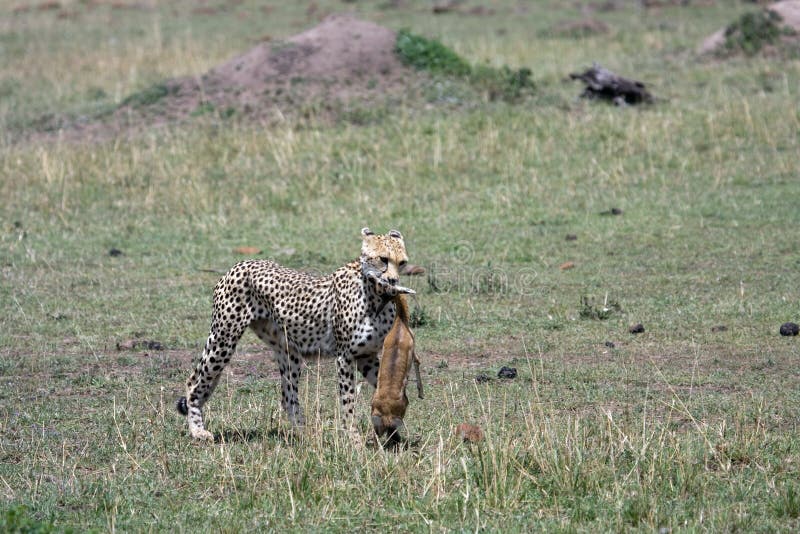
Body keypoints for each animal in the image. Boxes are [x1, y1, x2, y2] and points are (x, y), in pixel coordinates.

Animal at [176, 227, 414, 440]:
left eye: (402, 262)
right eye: (383, 259)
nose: (393, 281)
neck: (375, 295)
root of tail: (240, 264)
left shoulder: (366, 355)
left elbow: (386, 387)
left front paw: (393, 426)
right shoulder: (345, 357)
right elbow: (348, 401)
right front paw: (353, 439)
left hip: (288, 353)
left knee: (287, 398)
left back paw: (306, 434)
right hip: (224, 339)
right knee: (194, 383)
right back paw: (198, 431)